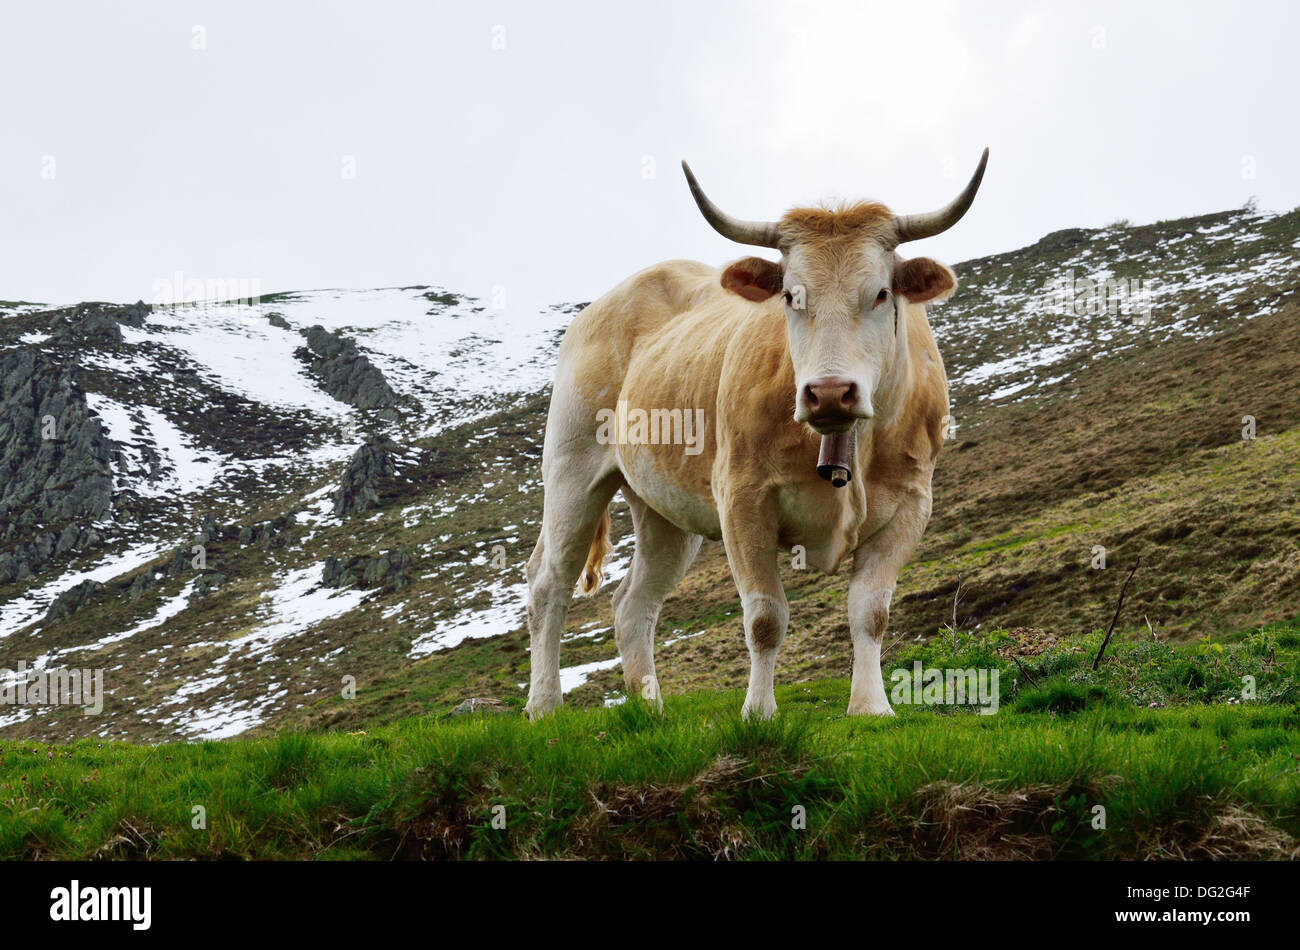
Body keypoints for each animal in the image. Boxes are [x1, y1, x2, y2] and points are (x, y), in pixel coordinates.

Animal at [525, 150, 988, 720]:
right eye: (789, 295)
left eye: (881, 293)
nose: (829, 393)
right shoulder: (742, 500)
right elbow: (765, 618)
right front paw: (758, 712)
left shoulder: (910, 504)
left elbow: (870, 611)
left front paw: (871, 706)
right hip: (572, 472)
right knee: (549, 584)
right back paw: (545, 706)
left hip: (662, 509)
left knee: (633, 603)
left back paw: (650, 708)